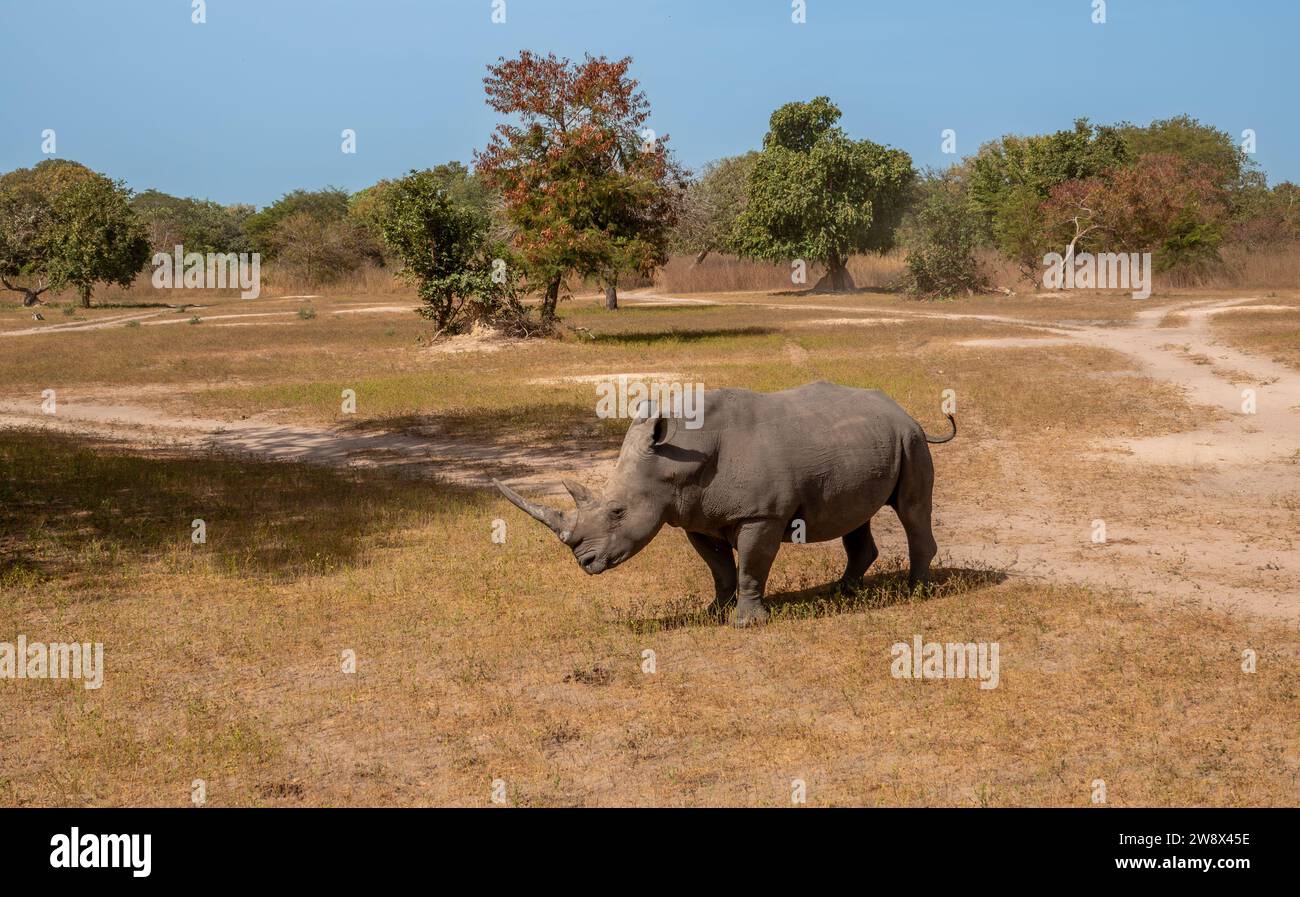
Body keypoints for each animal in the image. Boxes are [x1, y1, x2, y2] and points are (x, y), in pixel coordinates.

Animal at [494, 381, 955, 626]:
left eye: (617, 511)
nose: (585, 563)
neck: (672, 465)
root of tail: (903, 411)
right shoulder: (694, 516)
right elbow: (718, 568)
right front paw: (714, 611)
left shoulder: (762, 514)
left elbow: (751, 565)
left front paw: (748, 622)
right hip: (867, 442)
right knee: (855, 517)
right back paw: (842, 591)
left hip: (910, 441)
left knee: (912, 511)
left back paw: (915, 591)